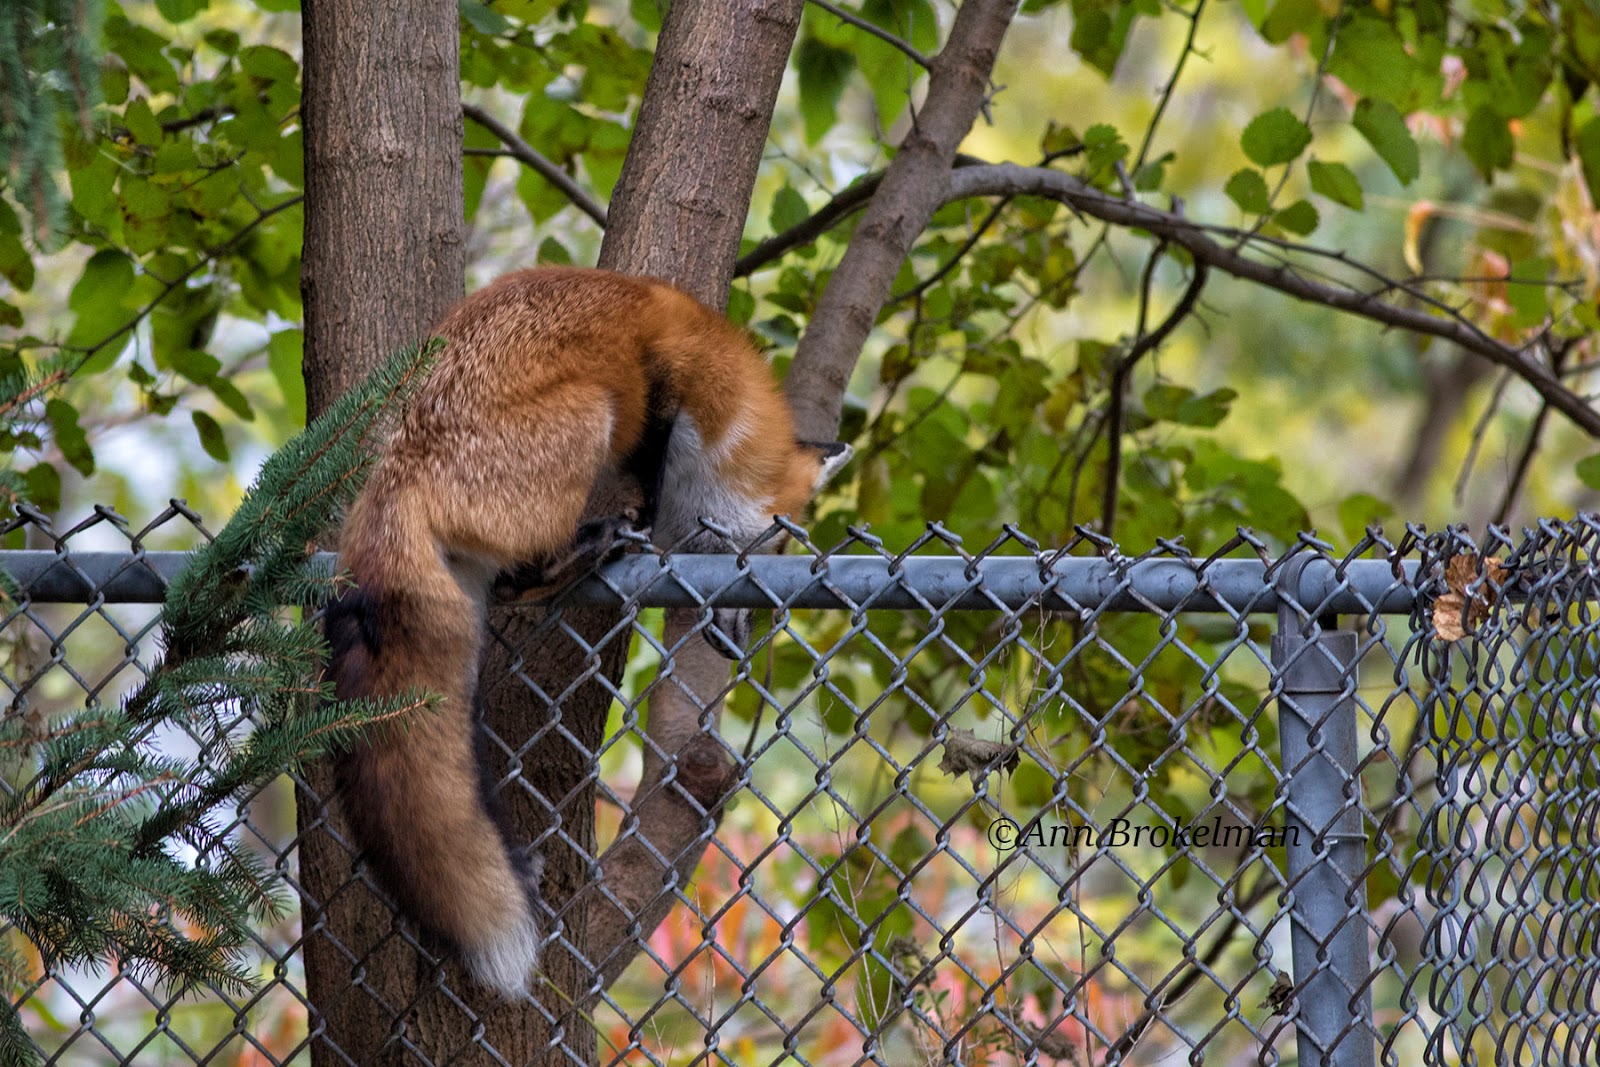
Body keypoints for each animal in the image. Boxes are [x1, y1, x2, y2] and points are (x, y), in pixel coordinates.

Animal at [322, 266, 850, 999]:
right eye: (764, 556)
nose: (734, 643)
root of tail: (394, 480)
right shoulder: (662, 385)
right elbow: (652, 474)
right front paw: (644, 517)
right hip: (590, 411)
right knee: (523, 576)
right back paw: (597, 544)